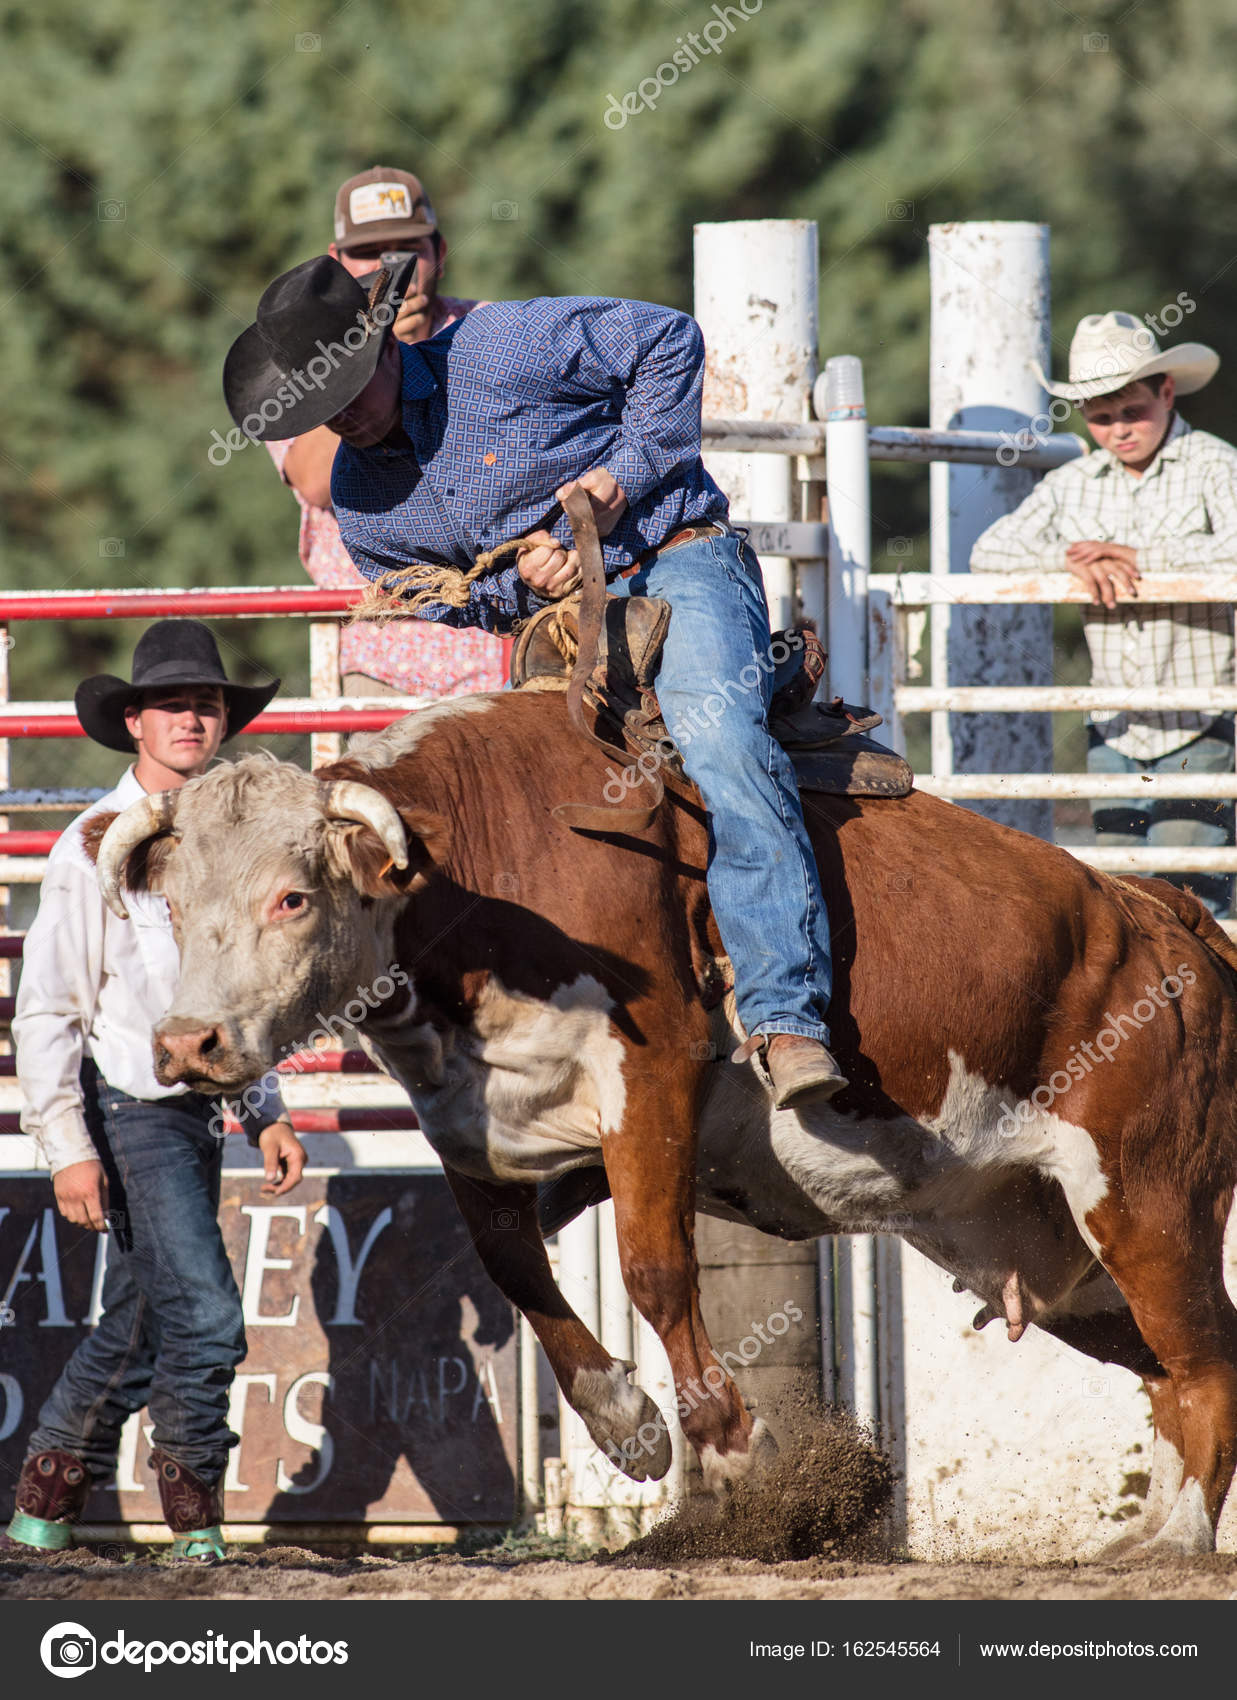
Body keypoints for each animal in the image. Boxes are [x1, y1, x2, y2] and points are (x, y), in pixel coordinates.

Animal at [90, 688, 1237, 1557]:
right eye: (174, 905)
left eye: (291, 897)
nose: (187, 1043)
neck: (483, 869)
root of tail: (1166, 920)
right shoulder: (473, 1124)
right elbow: (511, 1270)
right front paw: (626, 1425)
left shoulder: (651, 1078)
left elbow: (652, 1266)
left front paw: (730, 1450)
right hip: (1061, 1259)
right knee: (1166, 1371)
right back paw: (1144, 1536)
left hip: (1146, 1200)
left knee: (1204, 1359)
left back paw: (1179, 1537)